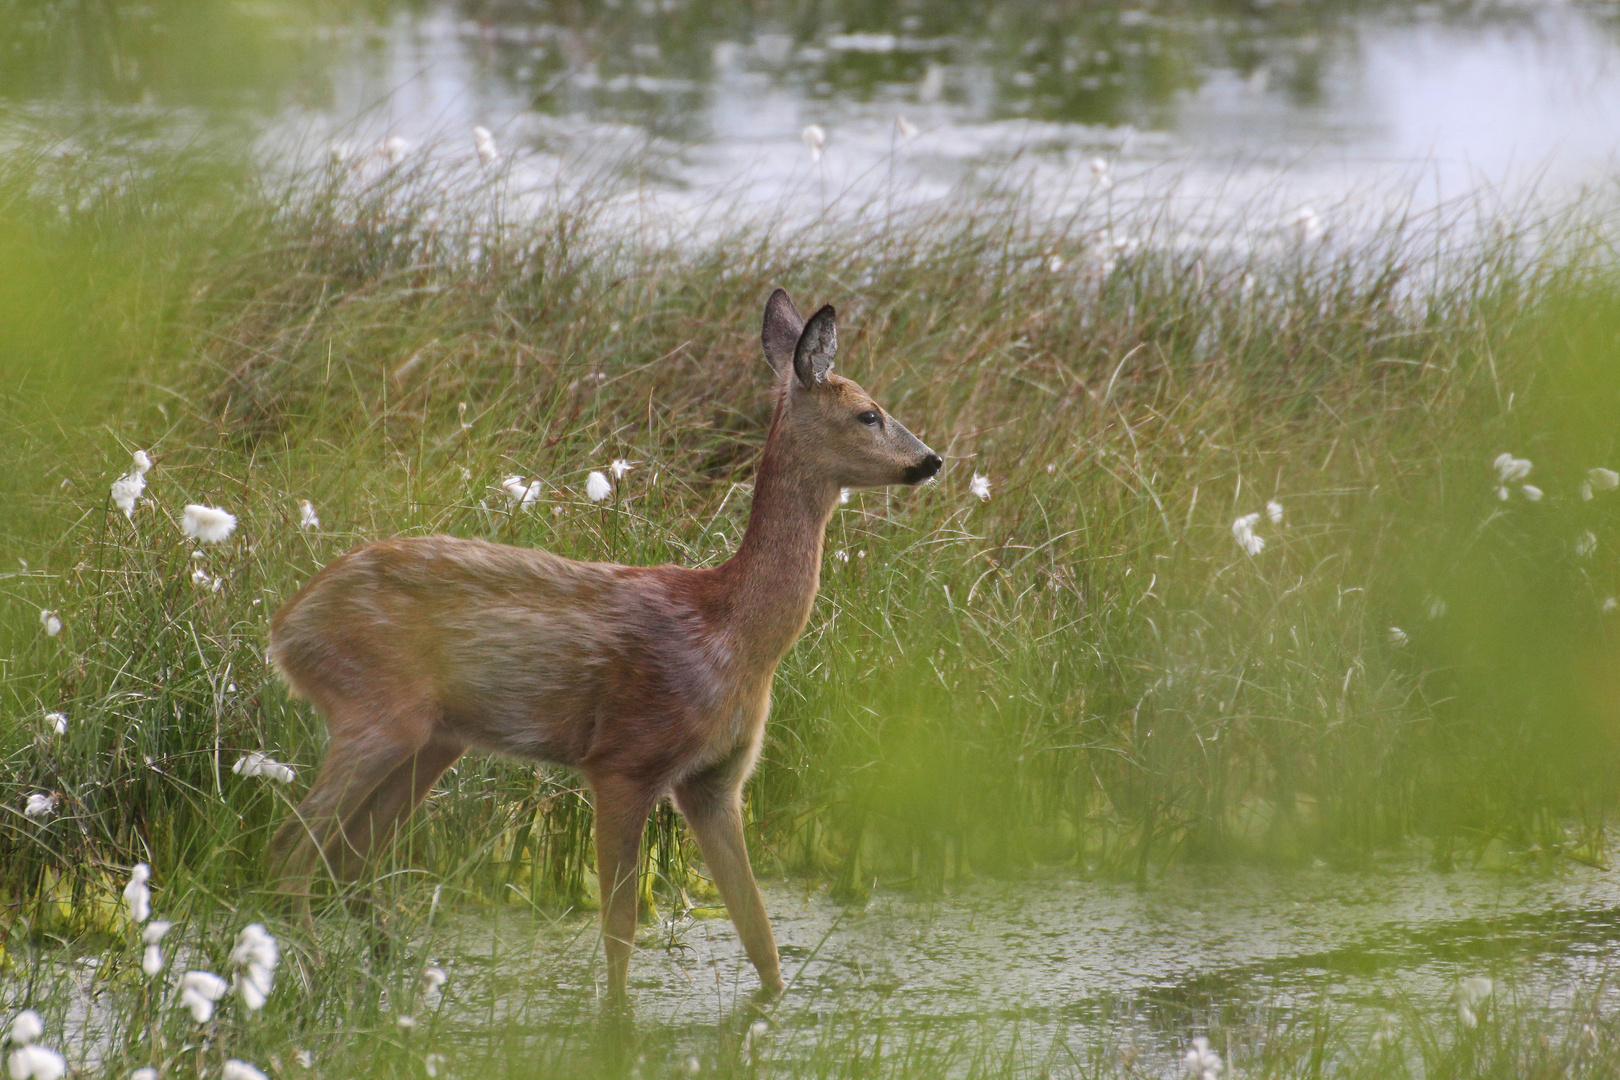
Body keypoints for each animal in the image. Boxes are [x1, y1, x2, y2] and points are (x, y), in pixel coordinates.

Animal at [265, 290, 942, 1000]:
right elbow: (620, 928)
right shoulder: (625, 756)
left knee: (351, 859)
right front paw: (615, 1017)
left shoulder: (716, 781)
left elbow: (762, 939)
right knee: (291, 850)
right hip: (373, 708)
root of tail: (286, 626)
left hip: (436, 738)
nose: (932, 460)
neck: (733, 634)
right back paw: (313, 975)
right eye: (870, 413)